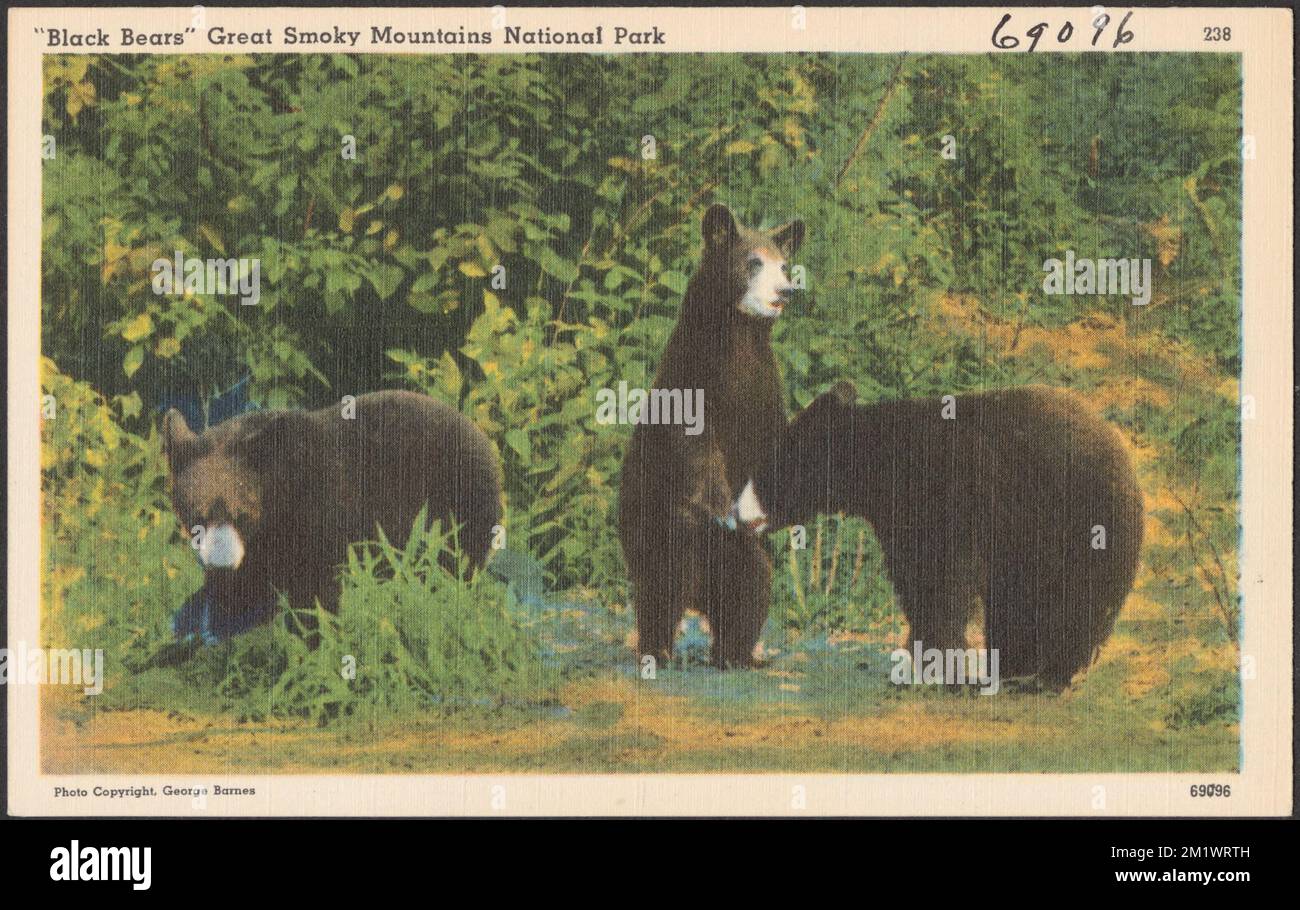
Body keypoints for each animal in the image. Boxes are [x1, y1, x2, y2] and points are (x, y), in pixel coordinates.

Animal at [163, 389, 503, 642]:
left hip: (453, 515)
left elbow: (315, 596)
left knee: (447, 574)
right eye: (196, 519)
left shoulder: (320, 516)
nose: (222, 564)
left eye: (242, 515)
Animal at [618, 203, 805, 668]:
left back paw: (738, 655)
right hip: (655, 529)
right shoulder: (694, 374)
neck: (739, 337)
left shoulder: (765, 388)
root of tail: (699, 598)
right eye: (753, 262)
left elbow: (775, 444)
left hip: (739, 557)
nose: (786, 291)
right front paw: (721, 503)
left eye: (783, 264)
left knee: (751, 587)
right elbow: (697, 444)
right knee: (659, 590)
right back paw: (658, 651)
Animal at [732, 382, 1144, 689]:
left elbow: (939, 581)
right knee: (1017, 602)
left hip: (1079, 524)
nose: (740, 511)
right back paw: (1015, 668)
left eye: (777, 465)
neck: (883, 467)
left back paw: (1050, 676)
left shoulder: (947, 500)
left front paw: (934, 666)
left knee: (1073, 602)